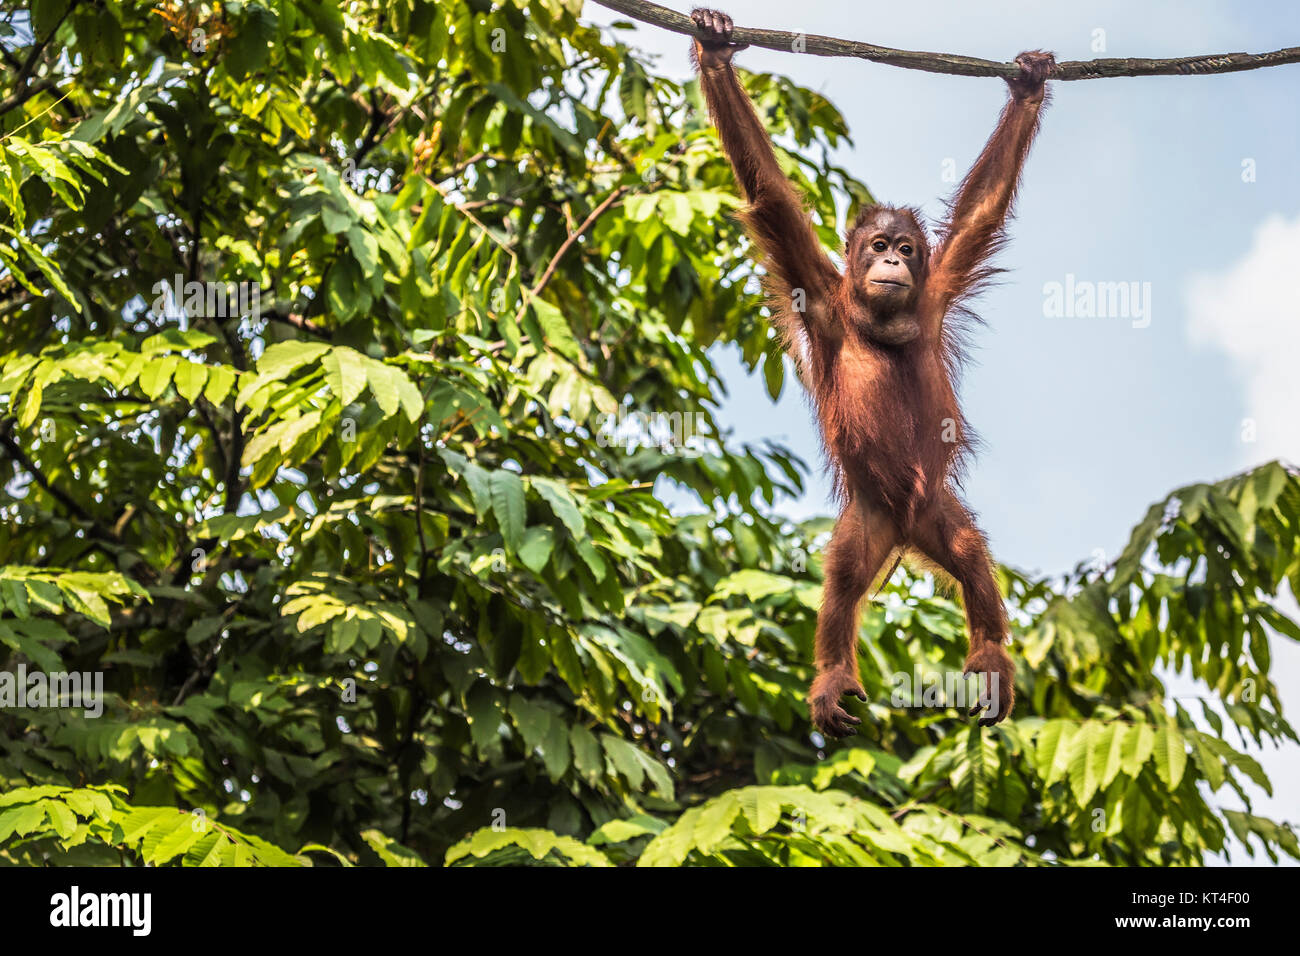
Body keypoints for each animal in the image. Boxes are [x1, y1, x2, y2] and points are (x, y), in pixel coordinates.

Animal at [688, 9, 1054, 735]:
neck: (879, 316)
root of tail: (905, 530)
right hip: (869, 515)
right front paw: (714, 48)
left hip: (934, 509)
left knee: (968, 552)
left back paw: (990, 658)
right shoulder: (817, 290)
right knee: (844, 580)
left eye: (907, 250)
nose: (890, 263)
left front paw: (1028, 85)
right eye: (878, 245)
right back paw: (833, 675)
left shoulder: (936, 288)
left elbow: (982, 211)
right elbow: (770, 198)